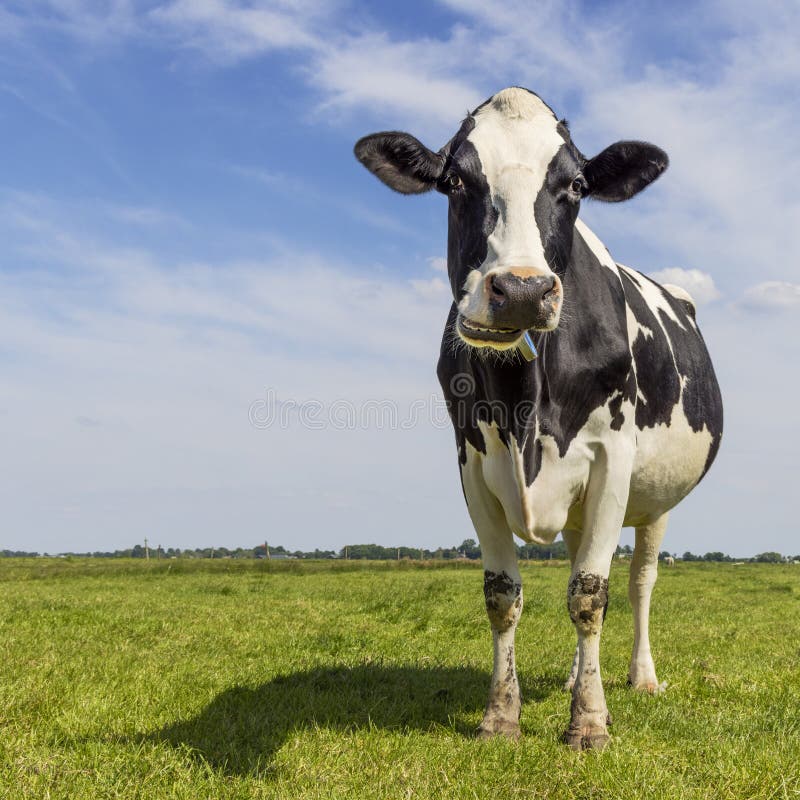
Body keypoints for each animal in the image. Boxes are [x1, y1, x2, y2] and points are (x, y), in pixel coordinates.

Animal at [354, 87, 722, 750]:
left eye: (575, 184)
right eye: (454, 180)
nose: (522, 290)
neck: (527, 396)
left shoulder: (612, 460)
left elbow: (591, 596)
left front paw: (590, 723)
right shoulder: (473, 464)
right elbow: (504, 596)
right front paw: (501, 717)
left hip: (656, 500)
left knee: (639, 581)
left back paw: (640, 677)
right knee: (581, 563)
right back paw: (581, 675)